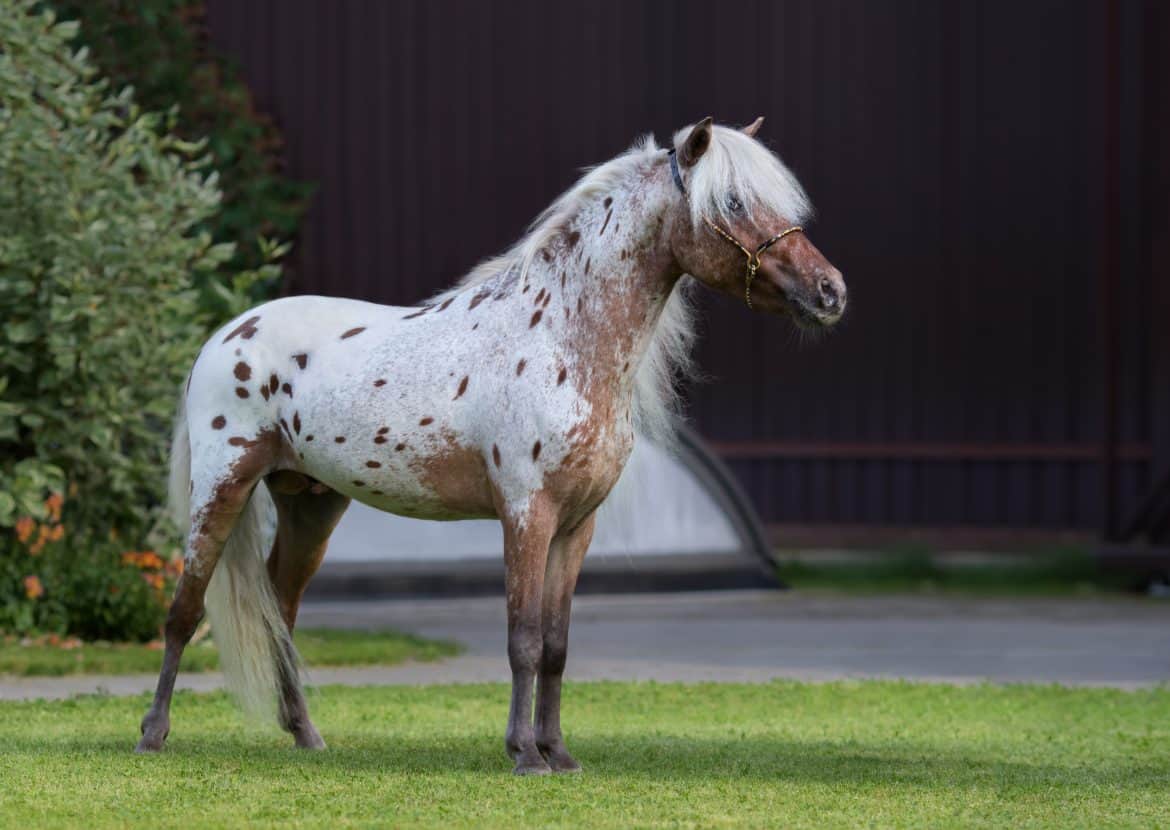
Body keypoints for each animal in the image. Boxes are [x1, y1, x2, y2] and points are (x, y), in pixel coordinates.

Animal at [135, 116, 846, 774]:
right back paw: (153, 735)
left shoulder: (575, 527)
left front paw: (559, 753)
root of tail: (227, 334)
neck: (560, 336)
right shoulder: (527, 516)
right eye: (732, 204)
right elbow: (524, 638)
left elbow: (557, 645)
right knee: (183, 610)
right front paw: (524, 754)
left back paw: (307, 738)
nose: (831, 291)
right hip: (221, 488)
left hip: (311, 505)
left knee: (281, 615)